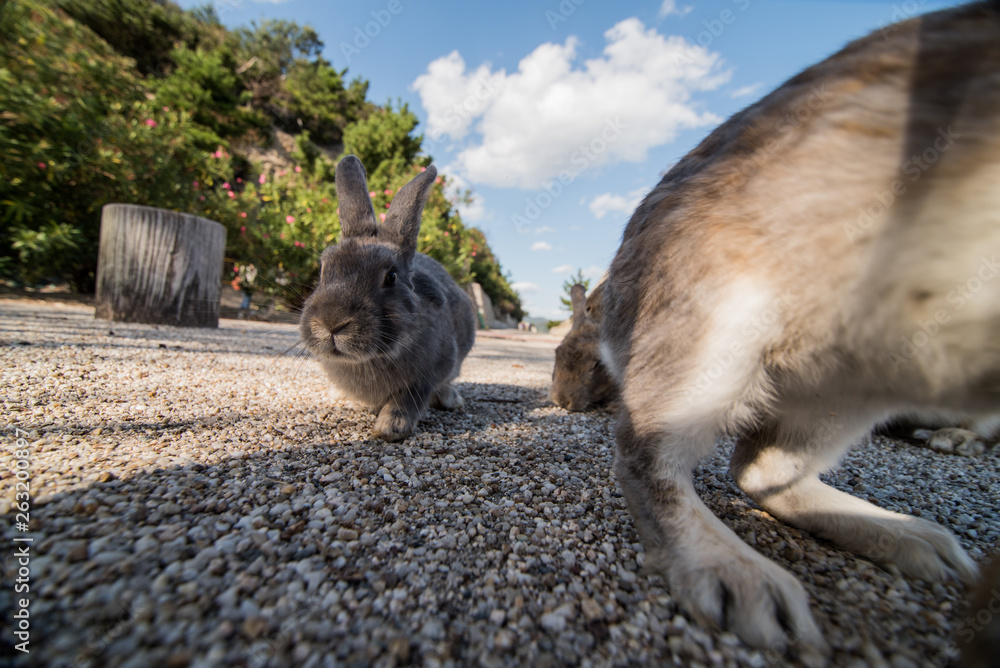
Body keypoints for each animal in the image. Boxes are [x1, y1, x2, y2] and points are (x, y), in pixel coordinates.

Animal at [299, 155, 476, 441]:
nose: (331, 323)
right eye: (323, 269)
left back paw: (451, 400)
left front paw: (391, 427)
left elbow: (410, 397)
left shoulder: (429, 373)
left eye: (391, 277)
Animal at [599, 1, 1000, 659]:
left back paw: (917, 539)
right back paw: (745, 584)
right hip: (722, 319)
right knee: (649, 454)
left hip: (858, 383)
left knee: (762, 469)